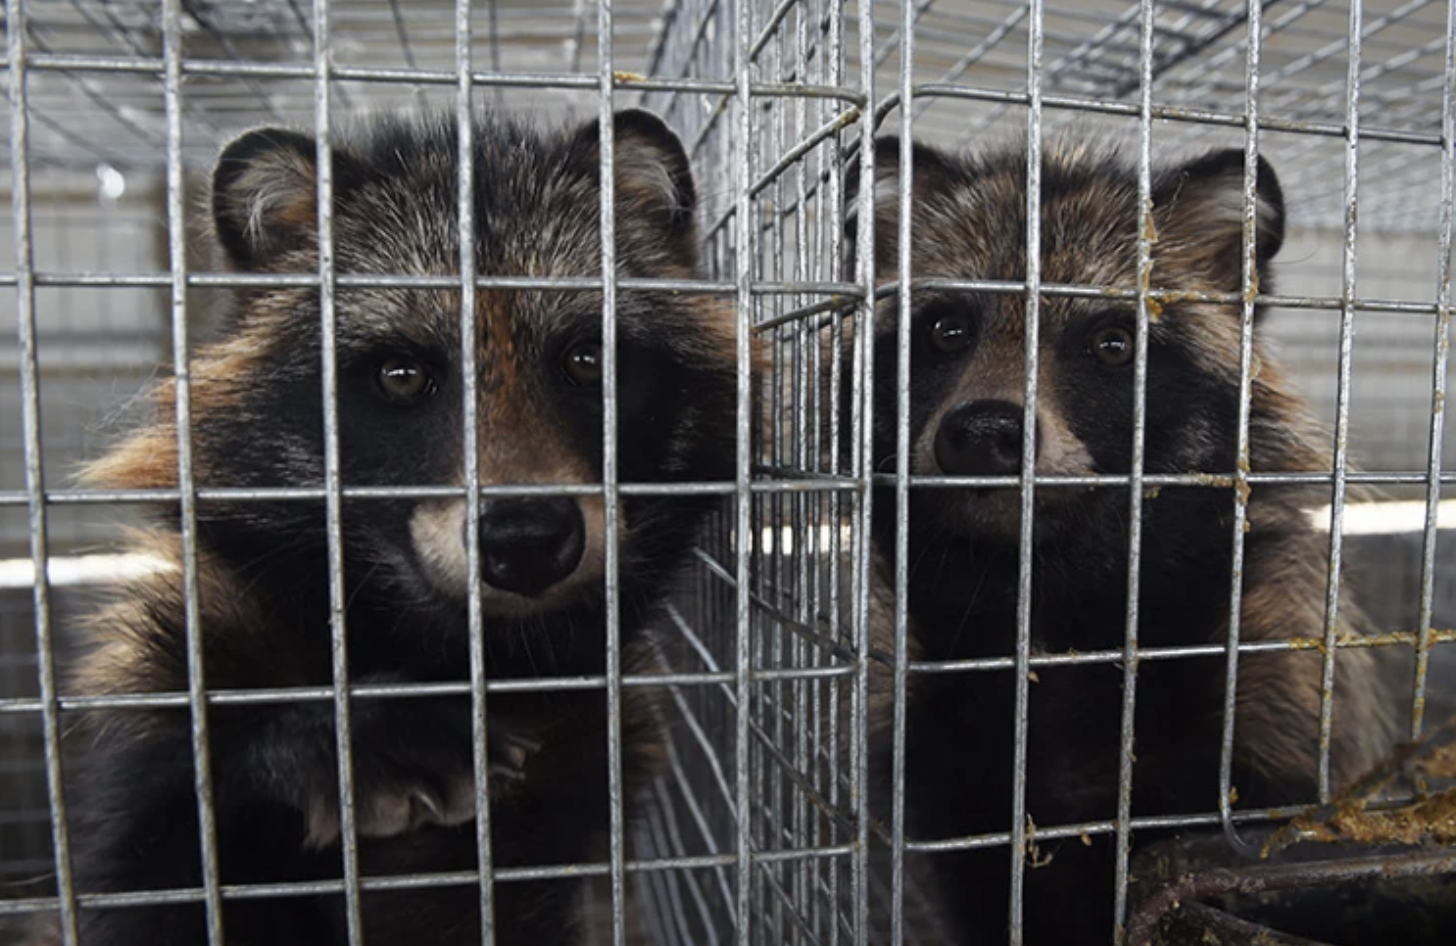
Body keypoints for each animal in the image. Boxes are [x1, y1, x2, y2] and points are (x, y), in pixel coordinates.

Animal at [63, 109, 743, 946]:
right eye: (401, 376)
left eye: (588, 360)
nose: (526, 540)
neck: (463, 650)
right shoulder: (173, 666)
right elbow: (160, 867)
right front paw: (308, 737)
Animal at [850, 138, 1402, 943]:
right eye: (946, 329)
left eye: (1111, 345)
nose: (982, 434)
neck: (1049, 593)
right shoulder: (938, 744)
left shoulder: (1272, 673)